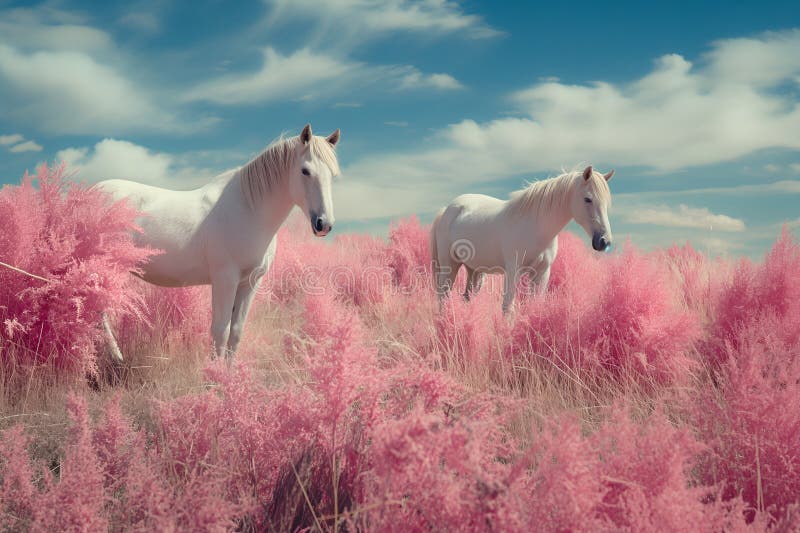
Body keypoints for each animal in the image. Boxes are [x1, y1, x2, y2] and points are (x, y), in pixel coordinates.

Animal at [97, 124, 341, 360]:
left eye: (332, 175)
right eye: (305, 171)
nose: (324, 224)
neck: (248, 209)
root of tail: (93, 193)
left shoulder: (250, 283)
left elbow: (236, 331)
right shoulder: (225, 279)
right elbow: (220, 331)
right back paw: (116, 356)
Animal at [430, 165, 614, 314]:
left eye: (607, 203)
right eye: (588, 199)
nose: (604, 241)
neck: (536, 228)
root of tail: (447, 210)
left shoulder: (542, 273)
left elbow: (535, 305)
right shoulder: (513, 271)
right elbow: (508, 308)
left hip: (474, 270)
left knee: (467, 297)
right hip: (450, 266)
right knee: (443, 297)